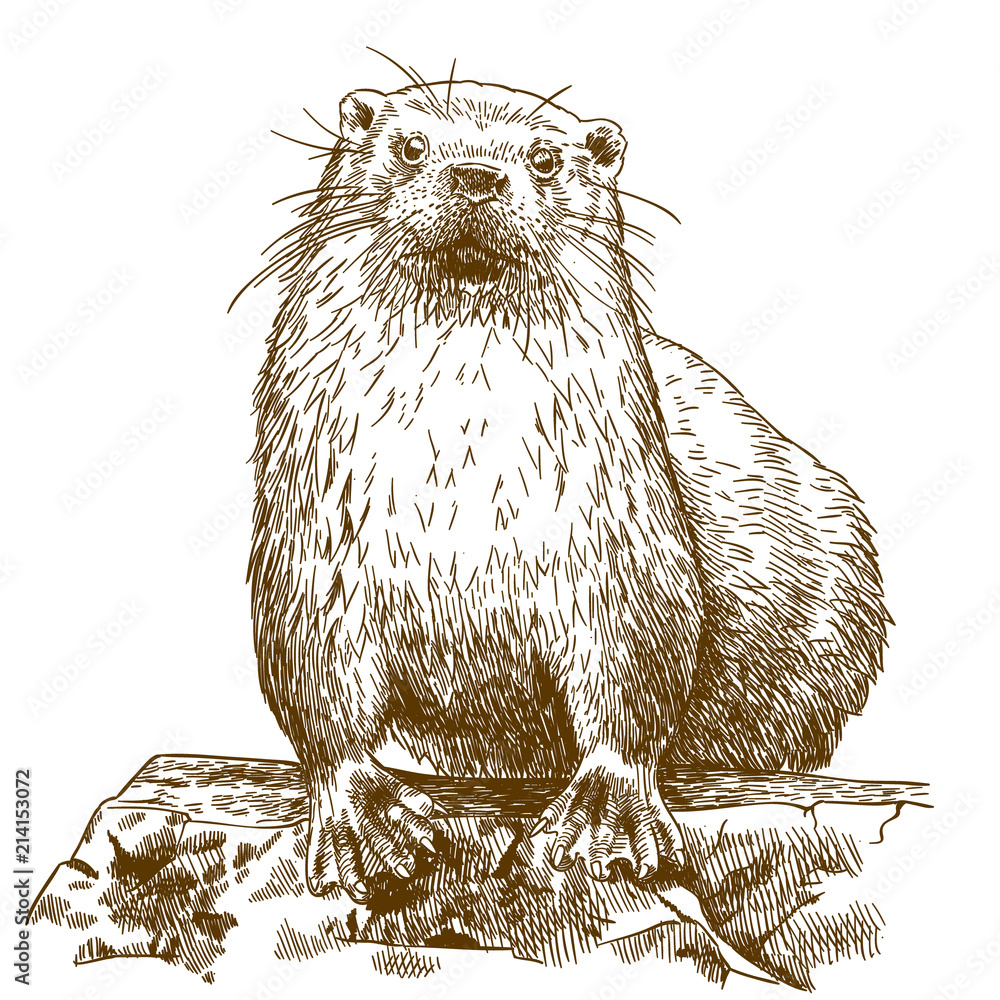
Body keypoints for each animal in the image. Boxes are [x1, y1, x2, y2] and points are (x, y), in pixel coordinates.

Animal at [248, 79, 887, 902]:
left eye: (547, 159)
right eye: (411, 146)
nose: (477, 175)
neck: (460, 492)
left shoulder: (622, 536)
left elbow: (635, 665)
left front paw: (607, 814)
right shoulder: (314, 543)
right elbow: (313, 678)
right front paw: (366, 816)